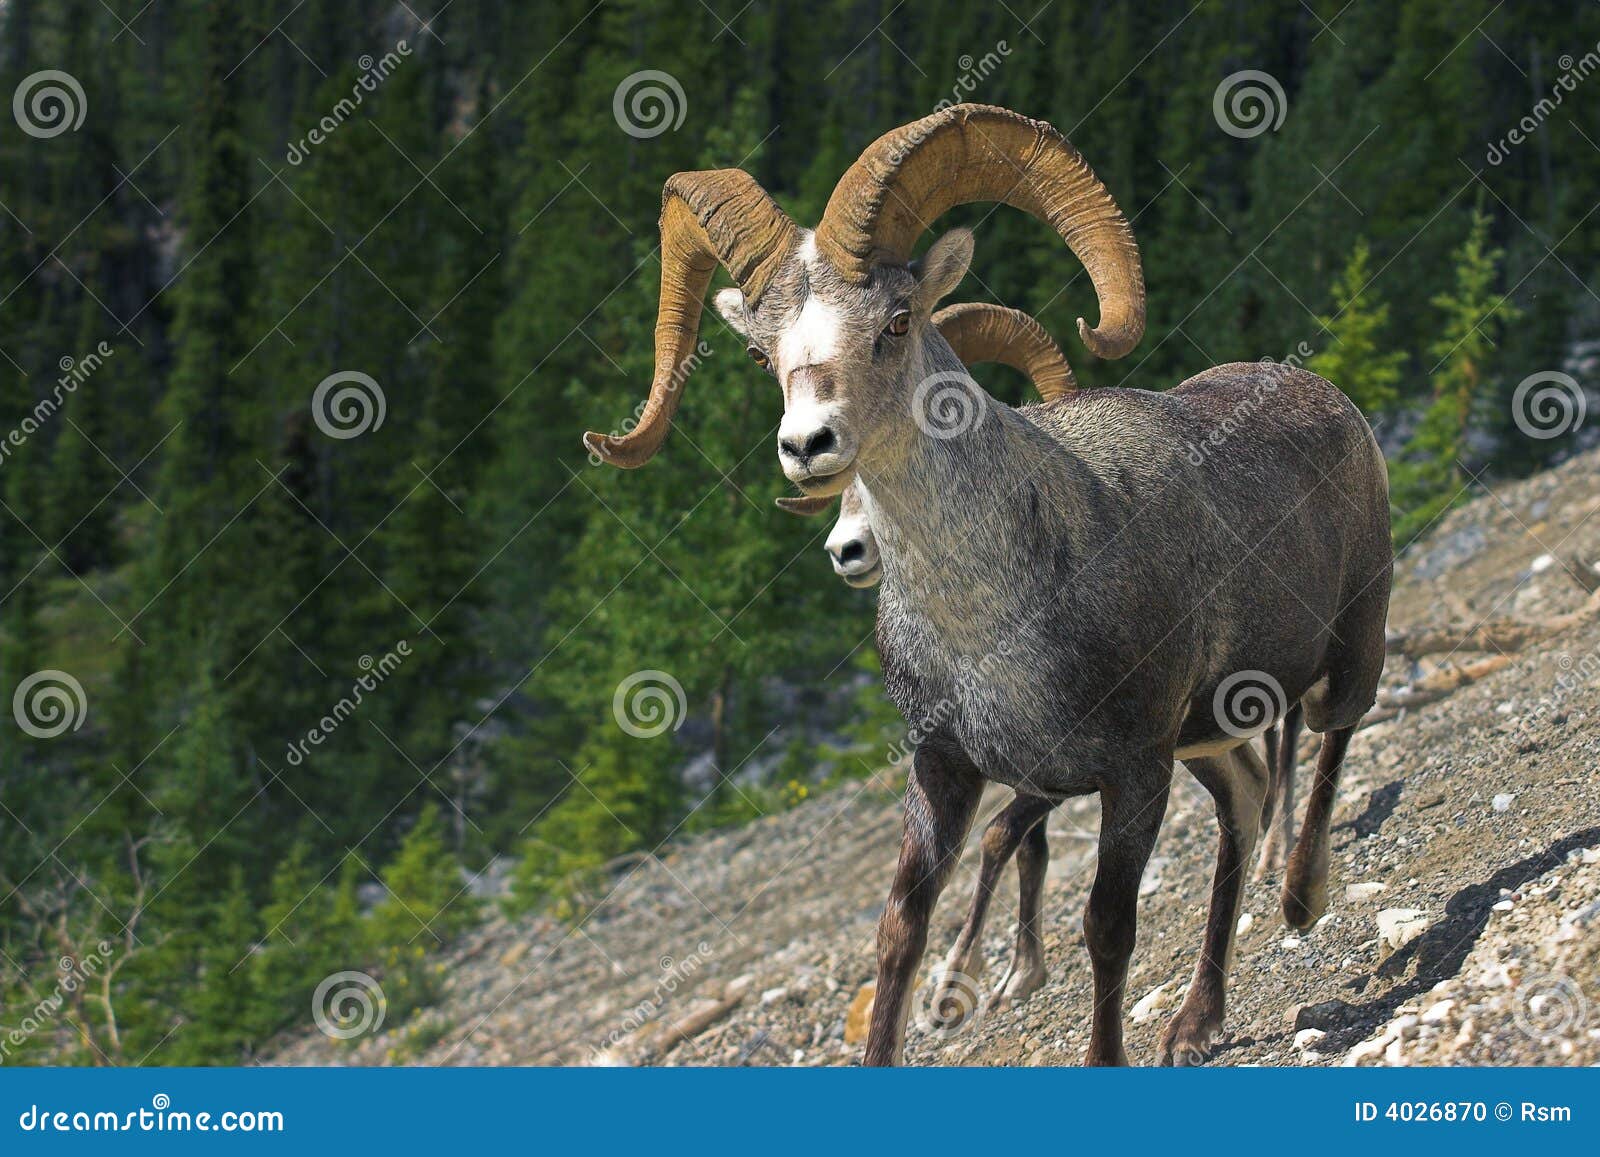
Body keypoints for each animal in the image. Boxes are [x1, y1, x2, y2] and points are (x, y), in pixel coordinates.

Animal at [584, 104, 1392, 1066]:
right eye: (759, 352)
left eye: (897, 320)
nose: (808, 445)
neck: (988, 628)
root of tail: (1331, 401)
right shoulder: (946, 770)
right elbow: (901, 932)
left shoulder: (1132, 771)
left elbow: (1107, 927)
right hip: (1209, 740)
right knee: (1244, 799)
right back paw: (1197, 1022)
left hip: (1348, 649)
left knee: (1332, 737)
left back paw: (1302, 899)